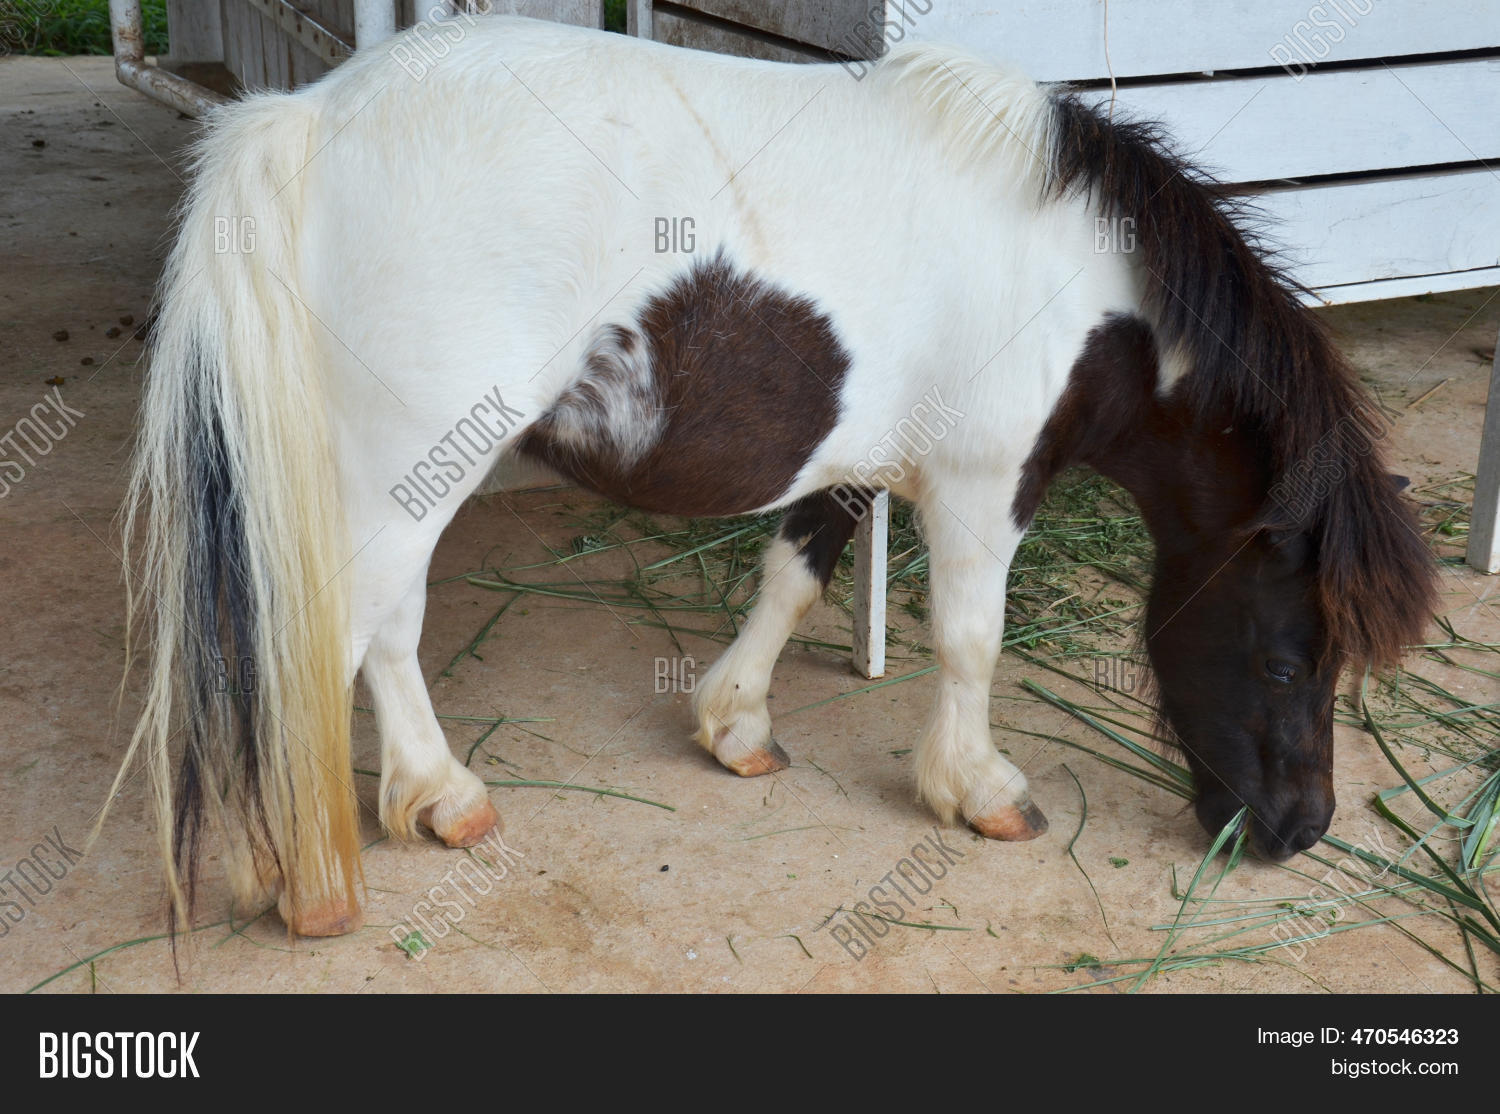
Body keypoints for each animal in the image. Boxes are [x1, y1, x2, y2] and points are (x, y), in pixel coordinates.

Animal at [110, 14, 1436, 937]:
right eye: (1288, 660)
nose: (1300, 829)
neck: (1078, 280)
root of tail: (305, 120)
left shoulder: (847, 463)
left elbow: (793, 577)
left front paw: (735, 724)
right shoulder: (983, 484)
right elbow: (969, 640)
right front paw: (976, 788)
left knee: (381, 632)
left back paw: (441, 797)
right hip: (411, 468)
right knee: (325, 643)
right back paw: (304, 882)